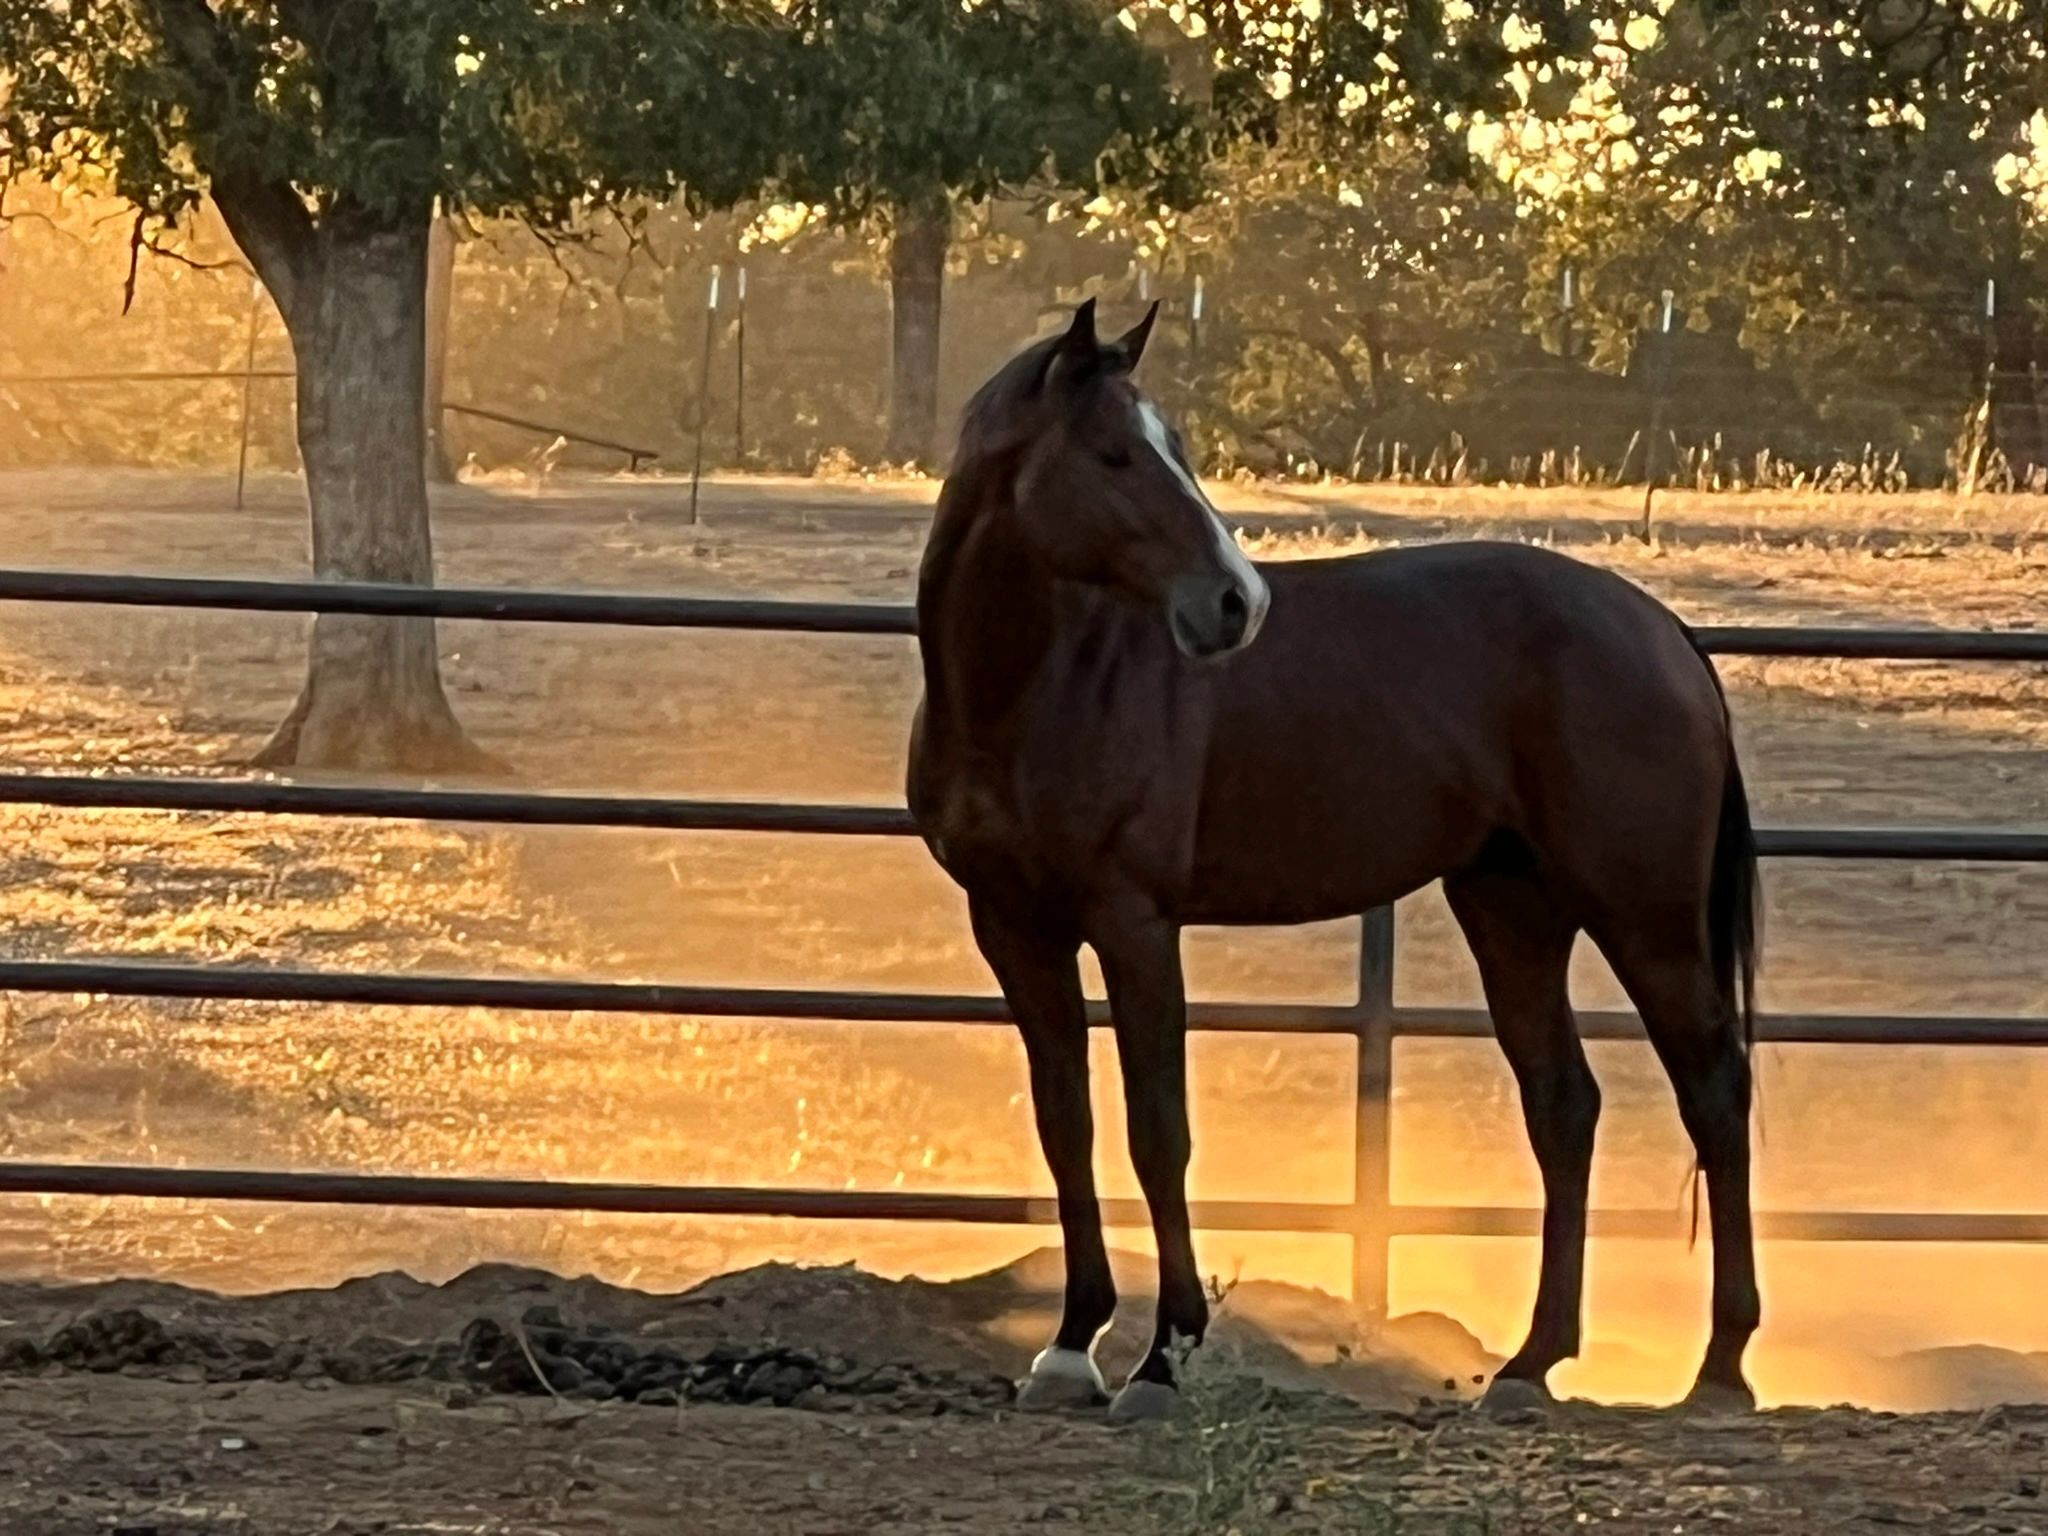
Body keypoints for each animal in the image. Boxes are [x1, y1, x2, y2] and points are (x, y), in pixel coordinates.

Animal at [907, 298, 1761, 1423]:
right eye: (1113, 455)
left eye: (1171, 449)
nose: (1236, 602)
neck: (1034, 688)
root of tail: (1660, 631)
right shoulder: (1013, 926)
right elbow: (1066, 1127)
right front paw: (1069, 1347)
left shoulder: (1134, 924)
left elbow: (1156, 1129)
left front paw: (1163, 1357)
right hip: (1513, 909)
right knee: (1563, 1105)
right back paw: (1531, 1362)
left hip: (1643, 919)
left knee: (1714, 1089)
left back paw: (1720, 1369)